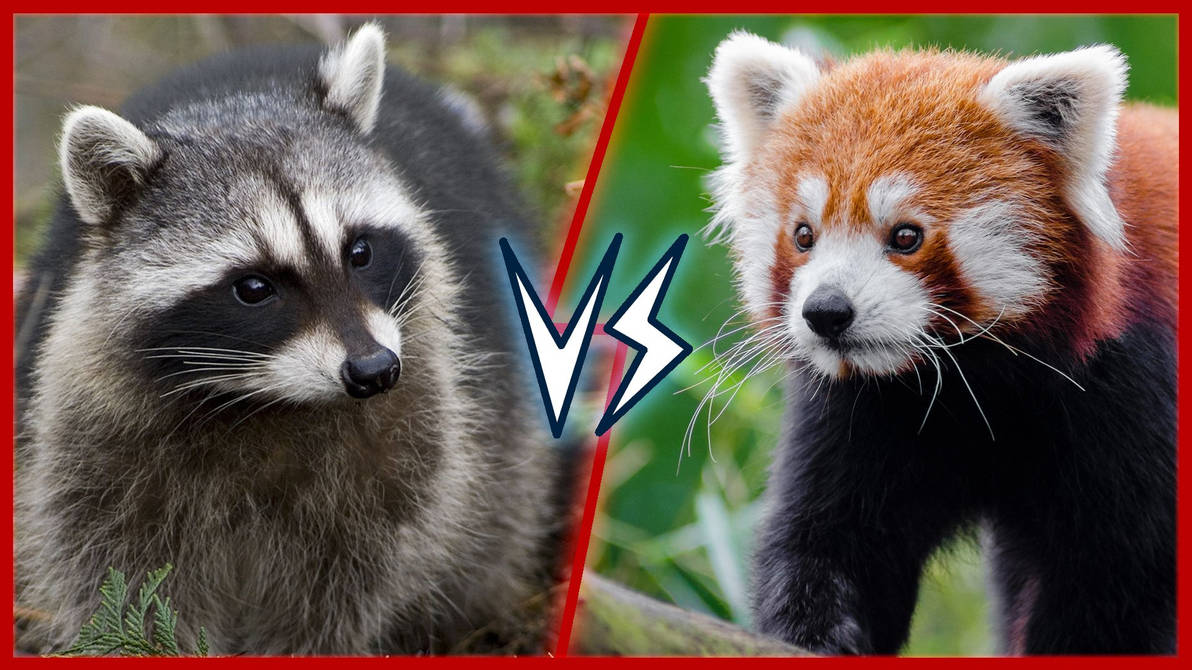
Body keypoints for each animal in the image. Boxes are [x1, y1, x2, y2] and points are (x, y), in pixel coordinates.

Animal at [16, 24, 561, 655]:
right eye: (254, 287)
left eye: (360, 251)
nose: (374, 370)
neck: (265, 400)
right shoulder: (99, 435)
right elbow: (116, 570)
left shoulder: (407, 431)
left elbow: (341, 587)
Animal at [706, 34, 1176, 654]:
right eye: (803, 236)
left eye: (906, 236)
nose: (826, 312)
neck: (972, 378)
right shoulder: (863, 411)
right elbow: (832, 540)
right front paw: (813, 634)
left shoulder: (1131, 388)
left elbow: (1119, 579)